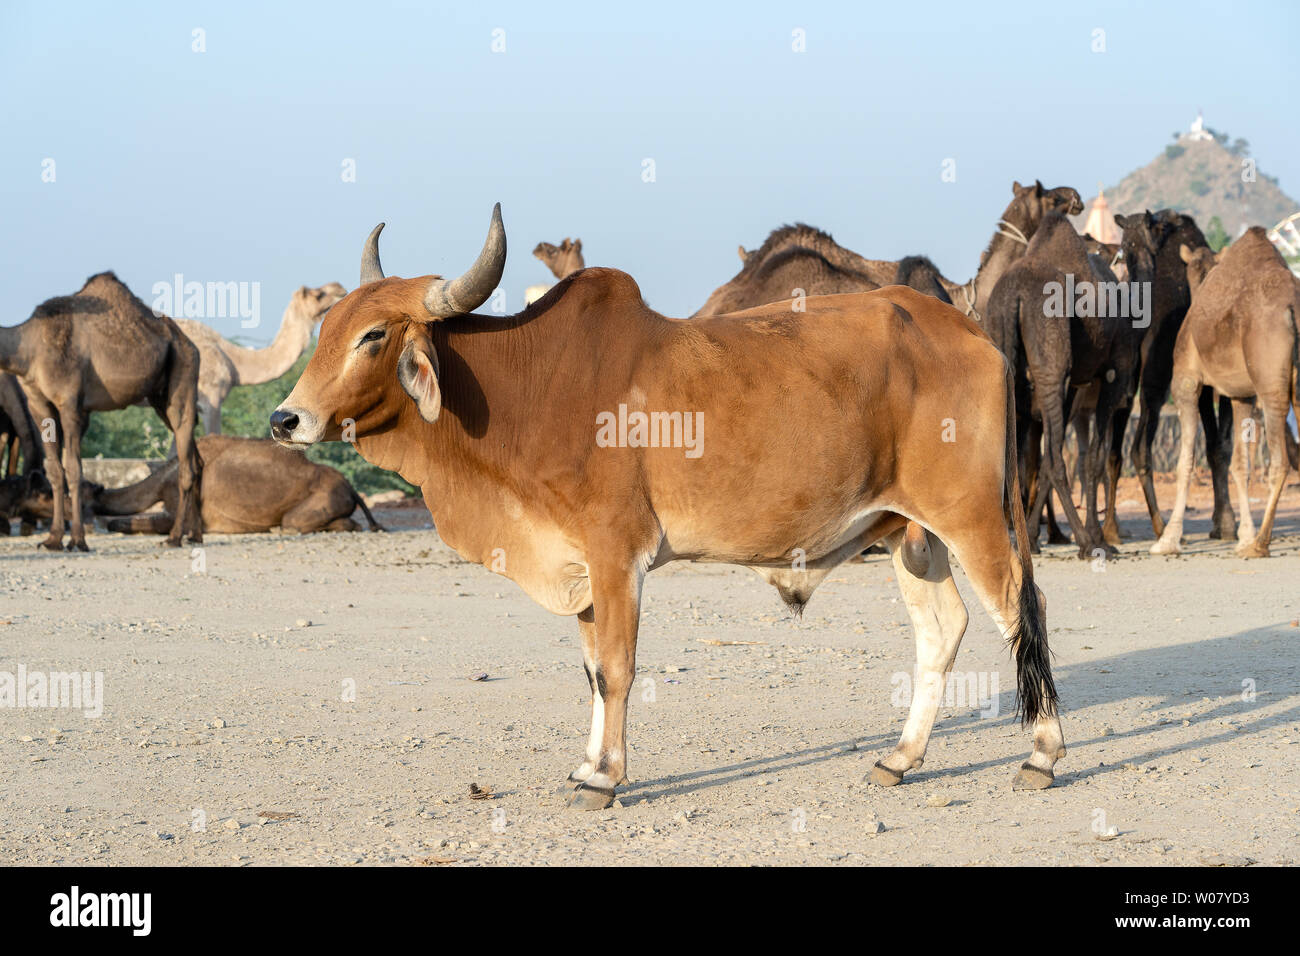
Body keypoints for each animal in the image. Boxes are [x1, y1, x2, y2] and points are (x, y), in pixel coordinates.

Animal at [0, 272, 202, 550]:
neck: (28, 350)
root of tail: (190, 345)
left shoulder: (69, 402)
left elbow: (74, 468)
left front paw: (77, 540)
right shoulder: (38, 403)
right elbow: (55, 471)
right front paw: (53, 539)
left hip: (183, 374)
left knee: (185, 461)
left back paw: (174, 537)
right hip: (160, 397)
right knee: (195, 458)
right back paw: (195, 535)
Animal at [17, 435, 382, 535]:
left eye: (51, 496)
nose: (24, 501)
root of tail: (350, 486)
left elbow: (123, 523)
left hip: (324, 495)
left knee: (293, 523)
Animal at [271, 205, 1065, 810]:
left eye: (374, 335)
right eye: (326, 328)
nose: (285, 420)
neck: (527, 391)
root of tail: (973, 333)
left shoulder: (617, 551)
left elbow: (618, 669)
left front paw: (607, 781)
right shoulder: (581, 566)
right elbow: (593, 671)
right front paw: (588, 766)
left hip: (971, 518)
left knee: (1018, 613)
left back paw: (1042, 754)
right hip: (909, 533)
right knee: (944, 629)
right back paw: (899, 757)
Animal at [1151, 228, 1300, 558]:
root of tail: (1293, 308)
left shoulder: (1186, 379)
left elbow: (1185, 461)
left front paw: (1168, 540)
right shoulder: (1241, 395)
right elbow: (1241, 465)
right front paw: (1243, 534)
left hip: (1271, 385)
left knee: (1279, 462)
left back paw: (1260, 545)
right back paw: (1254, 541)